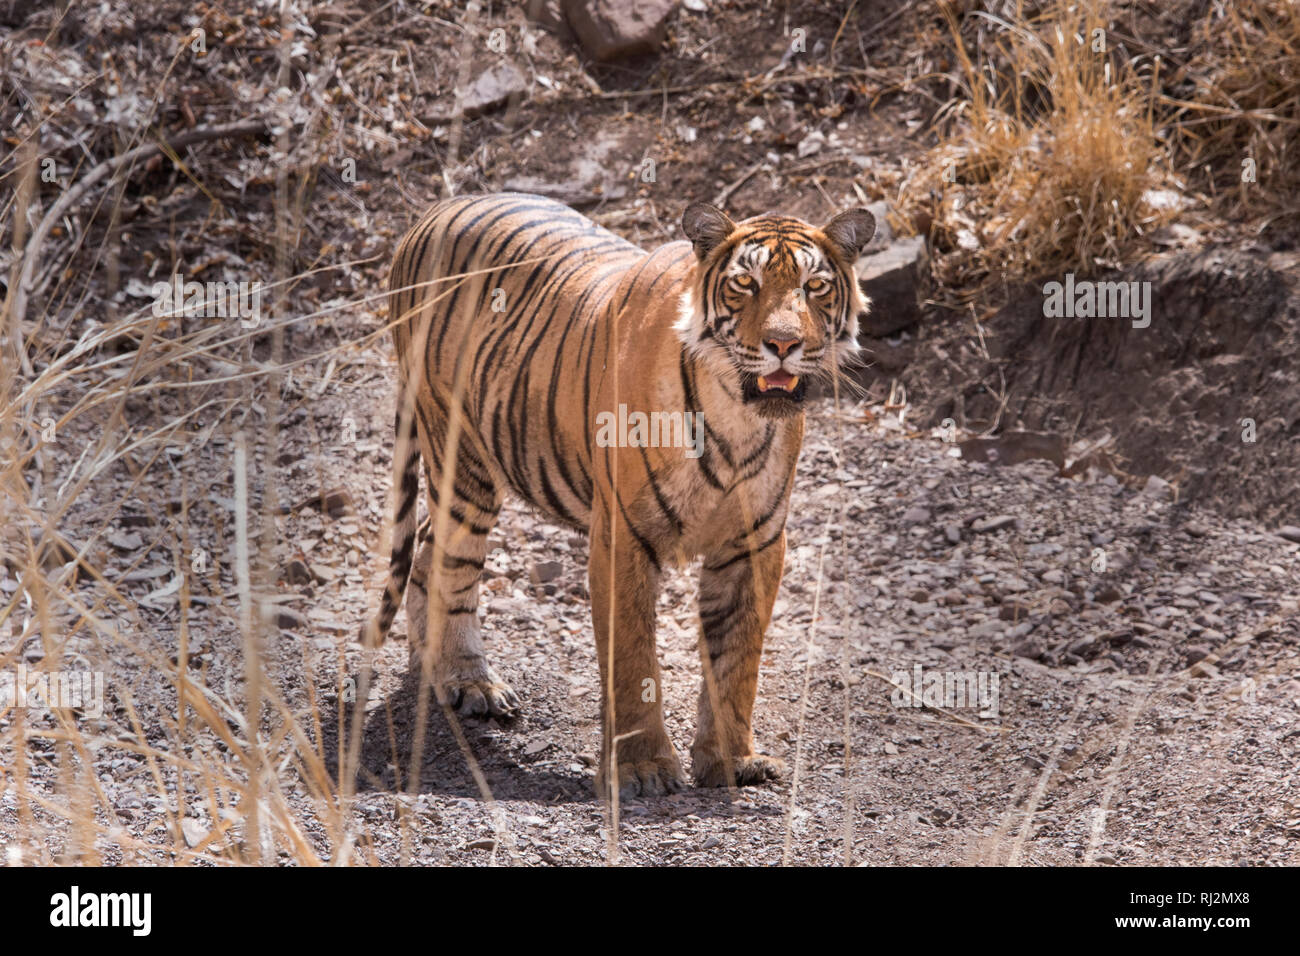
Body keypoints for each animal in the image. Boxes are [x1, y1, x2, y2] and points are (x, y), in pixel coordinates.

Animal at [361, 192, 874, 800]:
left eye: (815, 287)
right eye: (744, 284)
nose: (783, 344)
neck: (738, 415)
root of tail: (435, 210)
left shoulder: (756, 543)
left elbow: (736, 662)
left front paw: (731, 762)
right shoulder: (623, 536)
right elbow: (633, 660)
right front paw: (643, 768)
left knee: (422, 551)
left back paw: (432, 669)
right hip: (461, 455)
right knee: (448, 561)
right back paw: (470, 681)